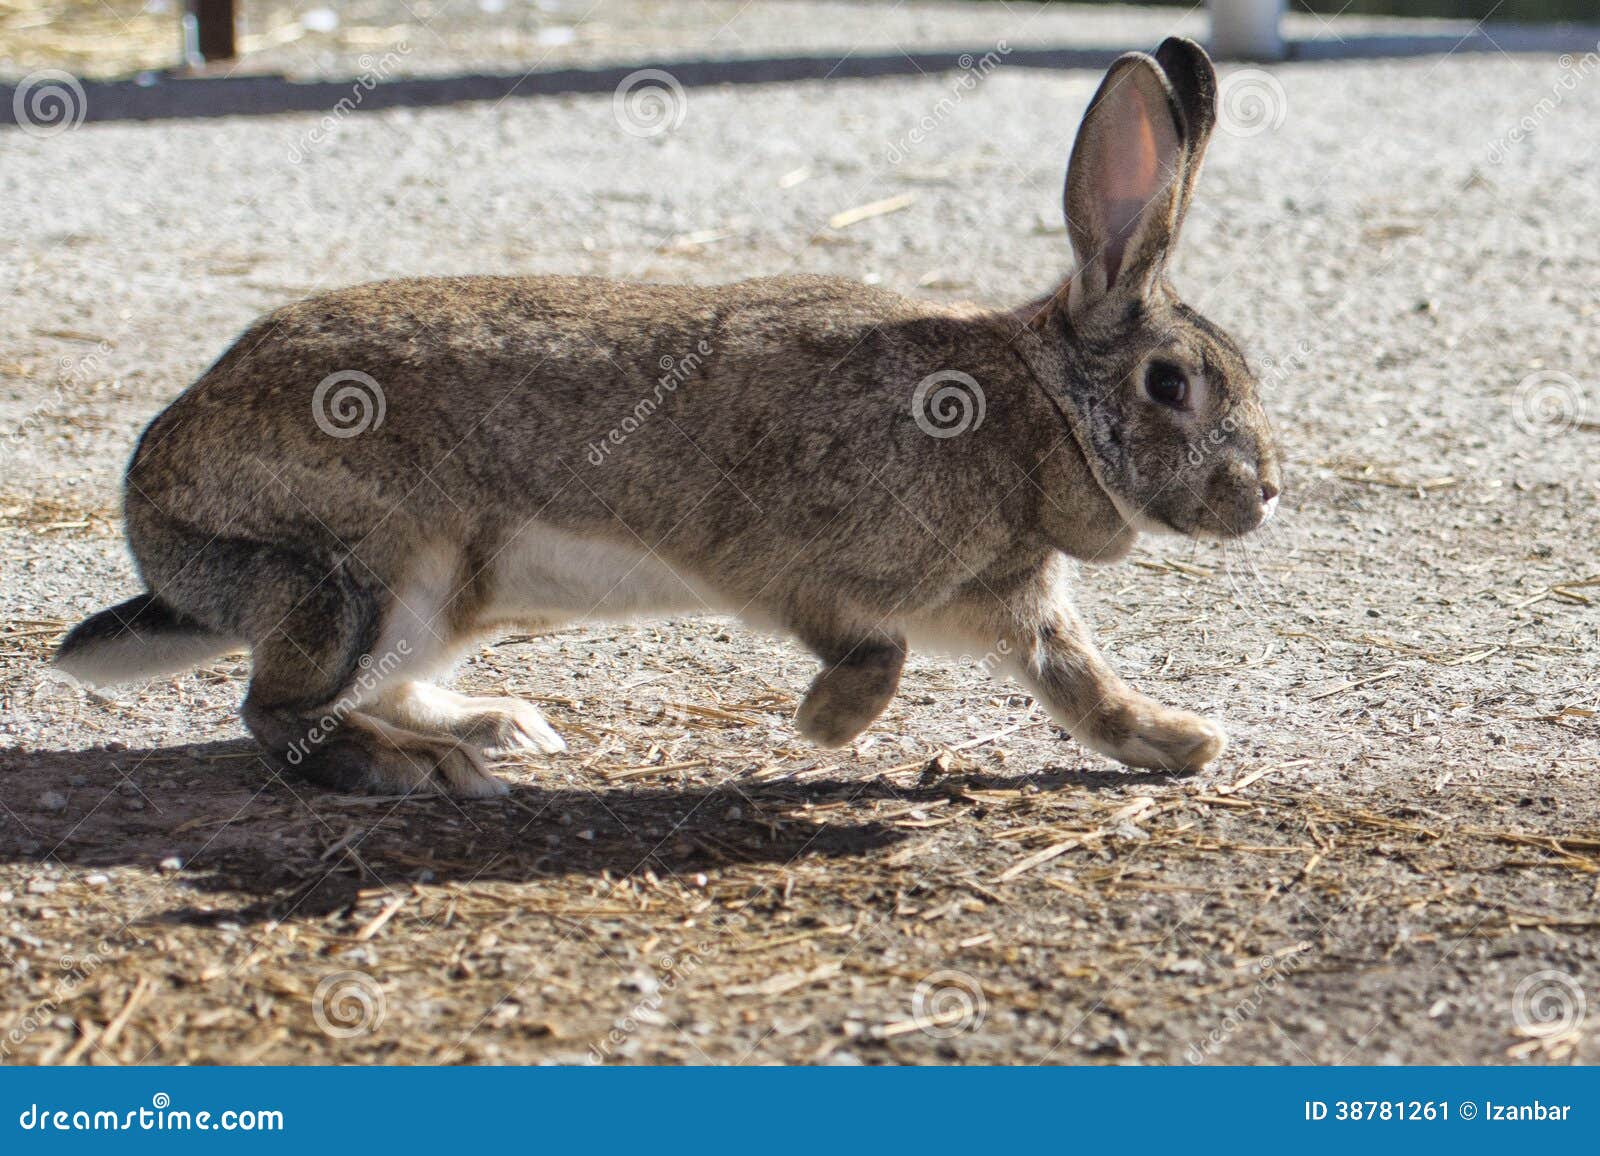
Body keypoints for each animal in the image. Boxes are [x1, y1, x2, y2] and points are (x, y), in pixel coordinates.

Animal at [54, 38, 1279, 798]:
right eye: (1171, 384)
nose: (1264, 494)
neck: (1039, 409)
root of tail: (153, 509)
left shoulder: (1020, 611)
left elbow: (1083, 688)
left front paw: (1183, 744)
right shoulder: (794, 568)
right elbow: (873, 652)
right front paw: (824, 726)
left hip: (433, 596)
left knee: (374, 682)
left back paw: (499, 724)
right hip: (352, 571)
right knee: (276, 712)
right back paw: (419, 770)